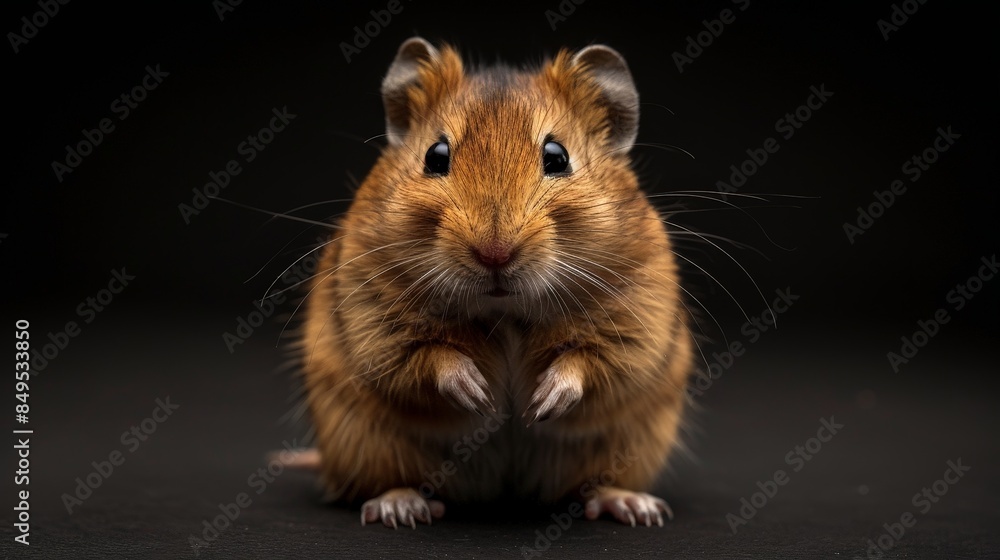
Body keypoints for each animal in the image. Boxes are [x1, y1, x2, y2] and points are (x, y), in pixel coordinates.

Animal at [298, 37, 693, 529]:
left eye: (557, 157)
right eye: (435, 156)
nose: (495, 255)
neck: (505, 310)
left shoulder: (636, 316)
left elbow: (588, 361)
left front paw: (540, 404)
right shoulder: (374, 313)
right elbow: (429, 354)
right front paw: (480, 396)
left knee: (591, 486)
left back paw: (633, 505)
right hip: (363, 441)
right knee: (387, 480)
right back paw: (400, 506)